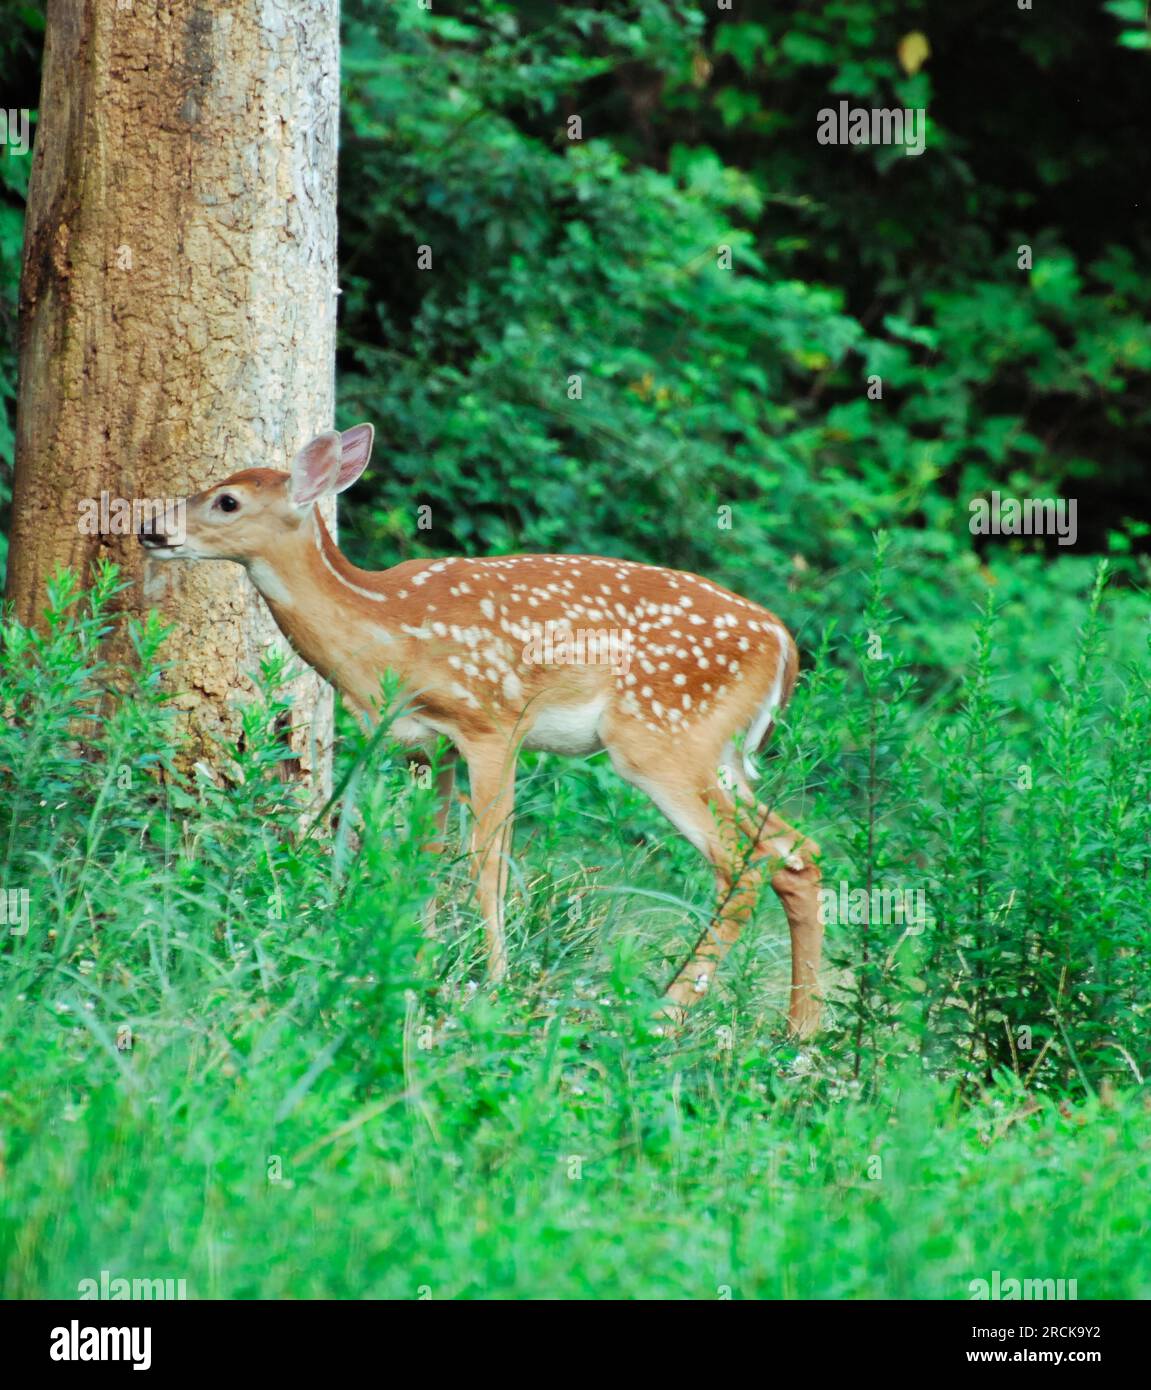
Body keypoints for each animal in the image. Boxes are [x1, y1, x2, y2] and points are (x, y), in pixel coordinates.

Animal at [139, 425, 824, 1035]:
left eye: (227, 501)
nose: (150, 529)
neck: (385, 635)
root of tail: (785, 646)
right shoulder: (430, 746)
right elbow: (428, 851)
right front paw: (417, 959)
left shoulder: (492, 721)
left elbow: (486, 858)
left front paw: (494, 981)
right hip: (719, 753)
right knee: (796, 852)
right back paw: (801, 1032)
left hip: (662, 739)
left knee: (742, 865)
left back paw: (666, 1013)